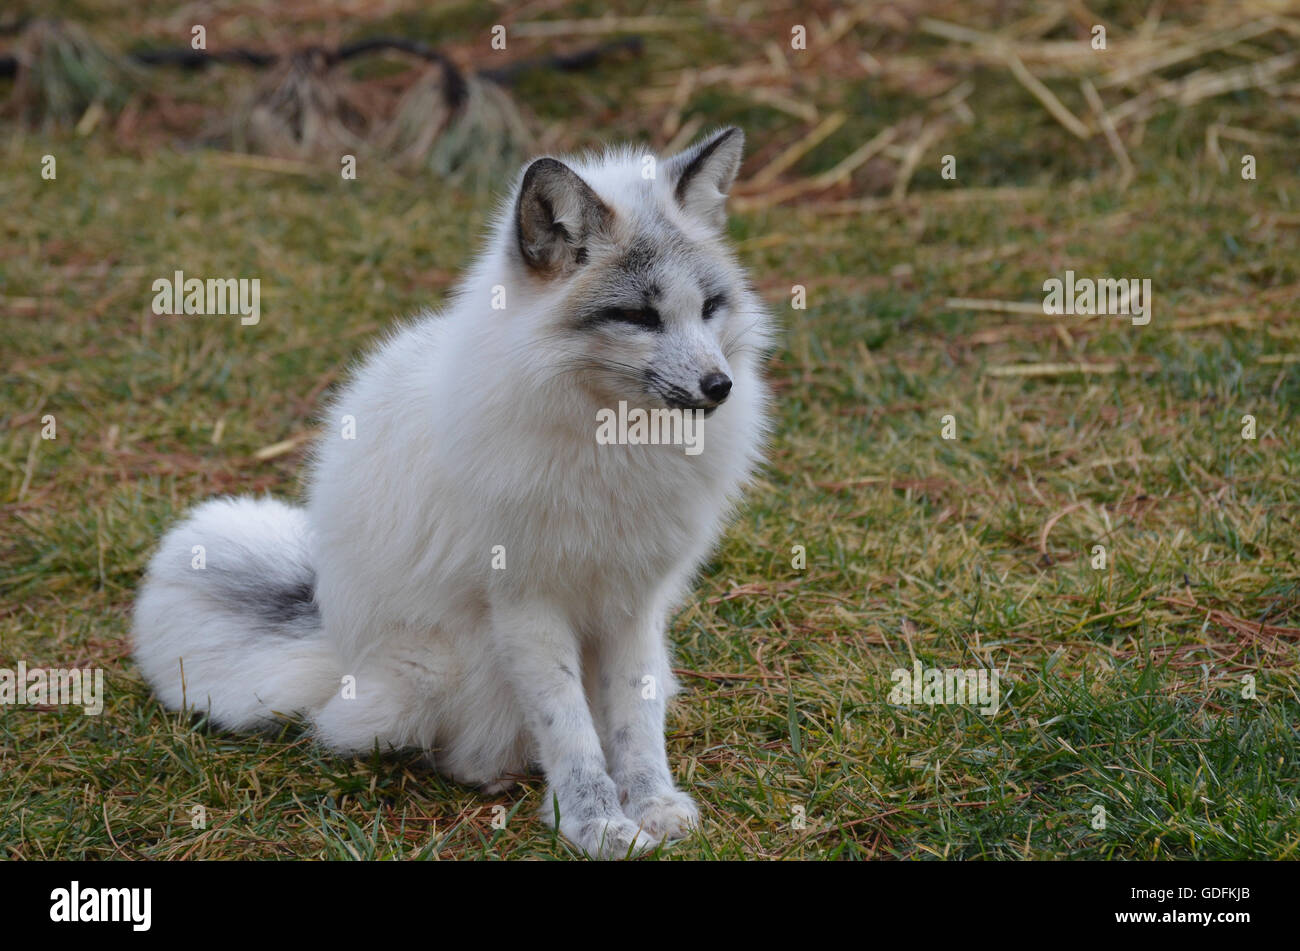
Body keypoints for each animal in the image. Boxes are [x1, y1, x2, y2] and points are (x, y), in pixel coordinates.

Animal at [132, 127, 773, 858]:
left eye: (710, 308)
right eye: (639, 315)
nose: (720, 386)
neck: (614, 448)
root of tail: (333, 639)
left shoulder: (634, 599)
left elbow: (634, 721)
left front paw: (652, 804)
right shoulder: (525, 600)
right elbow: (568, 727)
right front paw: (594, 822)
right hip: (440, 668)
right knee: (417, 738)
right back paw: (491, 773)